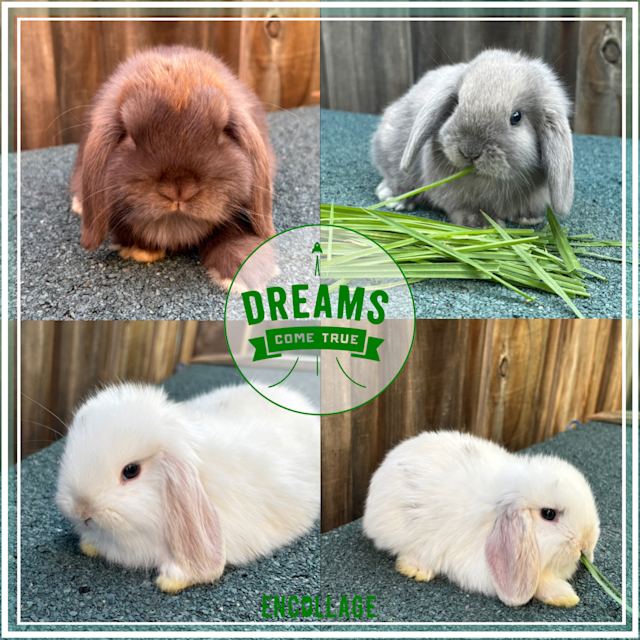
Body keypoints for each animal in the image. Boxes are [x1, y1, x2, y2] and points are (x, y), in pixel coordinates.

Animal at [371, 49, 574, 227]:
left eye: (516, 117)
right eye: (456, 104)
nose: (470, 151)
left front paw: (529, 218)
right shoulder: (457, 197)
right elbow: (465, 209)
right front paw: (484, 224)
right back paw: (393, 197)